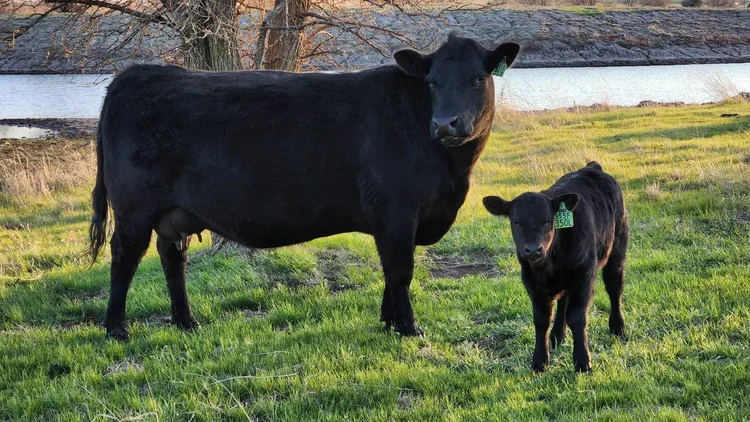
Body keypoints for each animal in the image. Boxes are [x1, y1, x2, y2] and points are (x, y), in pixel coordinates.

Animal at [87, 33, 521, 341]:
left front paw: (388, 321)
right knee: (124, 257)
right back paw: (116, 328)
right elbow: (400, 270)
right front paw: (408, 328)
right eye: (432, 82)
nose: (446, 124)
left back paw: (186, 321)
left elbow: (390, 270)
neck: (451, 175)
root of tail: (135, 75)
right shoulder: (396, 209)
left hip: (174, 212)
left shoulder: (402, 218)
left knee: (172, 257)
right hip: (135, 208)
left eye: (478, 78)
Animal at [482, 162, 628, 372]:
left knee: (614, 287)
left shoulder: (584, 275)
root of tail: (592, 167)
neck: (548, 265)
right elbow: (541, 319)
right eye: (515, 221)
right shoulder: (530, 280)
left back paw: (618, 327)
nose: (533, 250)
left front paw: (582, 361)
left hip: (617, 247)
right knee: (563, 301)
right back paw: (556, 337)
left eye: (548, 220)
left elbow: (577, 316)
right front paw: (540, 360)